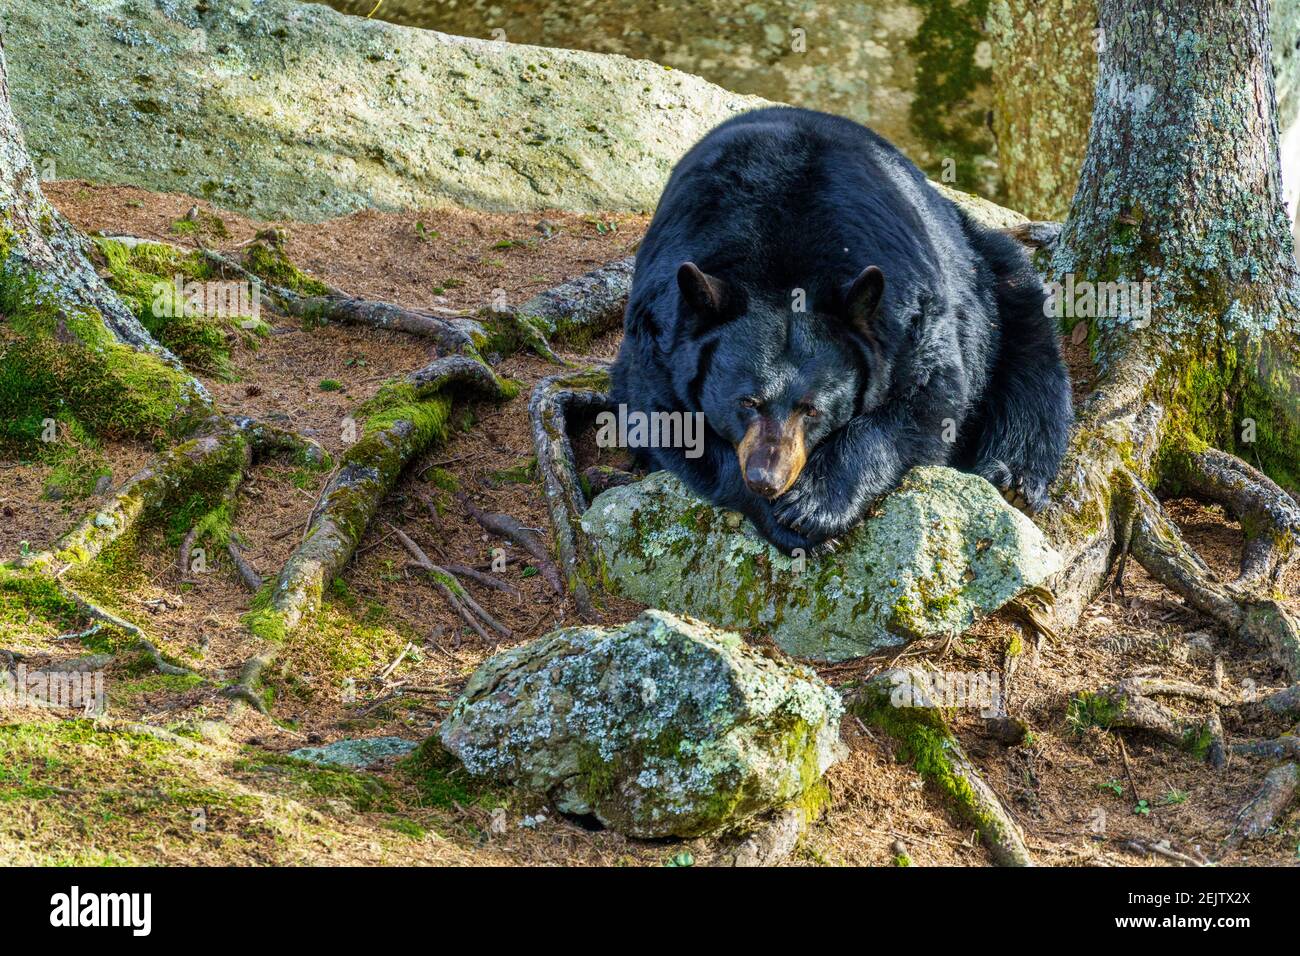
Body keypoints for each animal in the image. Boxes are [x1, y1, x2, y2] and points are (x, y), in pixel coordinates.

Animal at [609, 106, 1073, 555]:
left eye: (812, 409)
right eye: (746, 402)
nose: (766, 478)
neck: (781, 266)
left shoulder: (908, 315)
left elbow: (928, 399)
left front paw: (816, 504)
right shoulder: (658, 338)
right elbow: (669, 423)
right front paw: (785, 520)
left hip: (986, 272)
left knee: (1030, 348)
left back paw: (1014, 475)